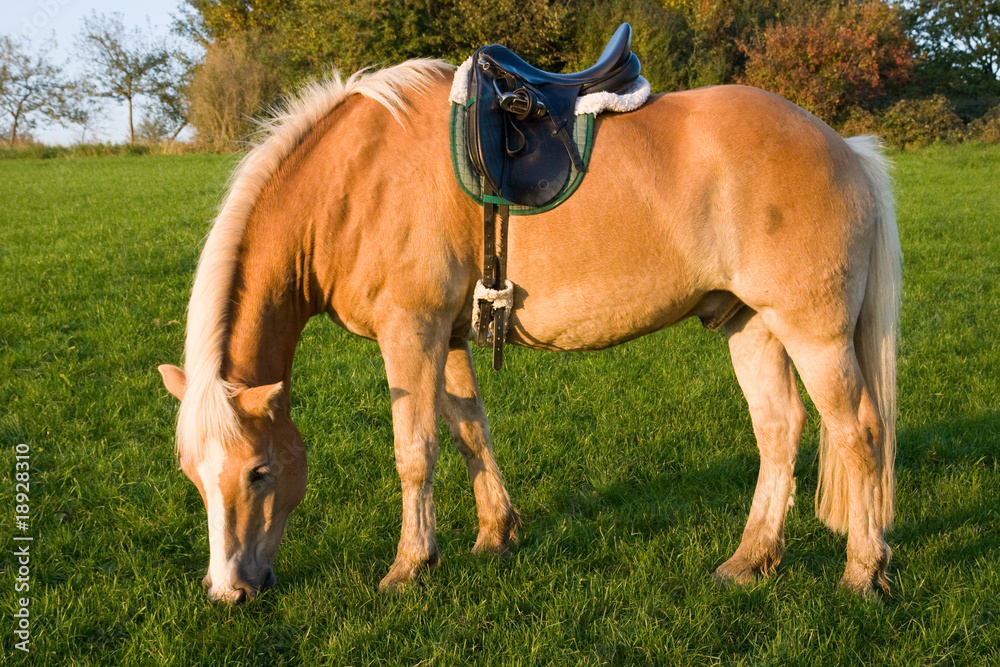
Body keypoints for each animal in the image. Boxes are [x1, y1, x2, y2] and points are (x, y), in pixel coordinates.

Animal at [158, 59, 900, 603]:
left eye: (259, 472)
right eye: (193, 474)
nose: (229, 591)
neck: (354, 182)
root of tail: (845, 147)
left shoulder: (411, 330)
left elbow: (415, 450)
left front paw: (410, 564)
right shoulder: (449, 335)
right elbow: (469, 431)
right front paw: (495, 534)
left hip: (815, 334)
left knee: (858, 433)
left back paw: (863, 570)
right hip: (750, 323)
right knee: (779, 430)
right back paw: (750, 559)